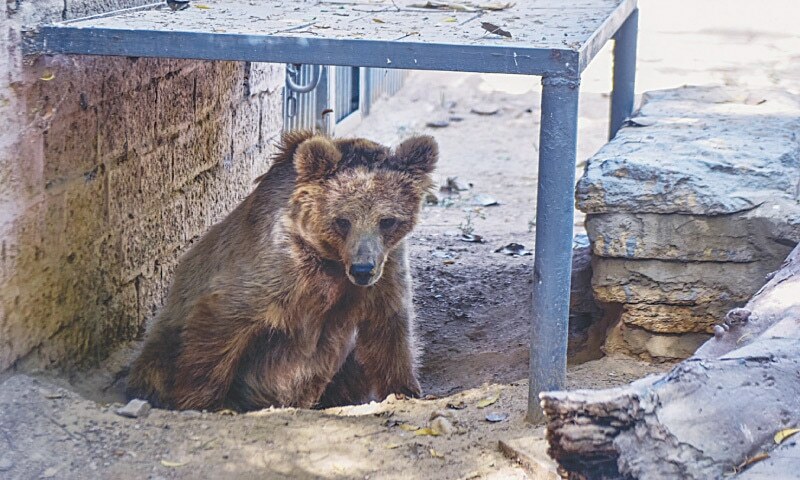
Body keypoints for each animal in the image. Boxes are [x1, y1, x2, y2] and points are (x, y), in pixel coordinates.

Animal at [125, 130, 438, 412]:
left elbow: (390, 329)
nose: (363, 269)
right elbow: (223, 319)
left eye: (387, 220)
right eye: (342, 220)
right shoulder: (279, 267)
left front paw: (405, 390)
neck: (331, 261)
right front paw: (200, 401)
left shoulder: (387, 271)